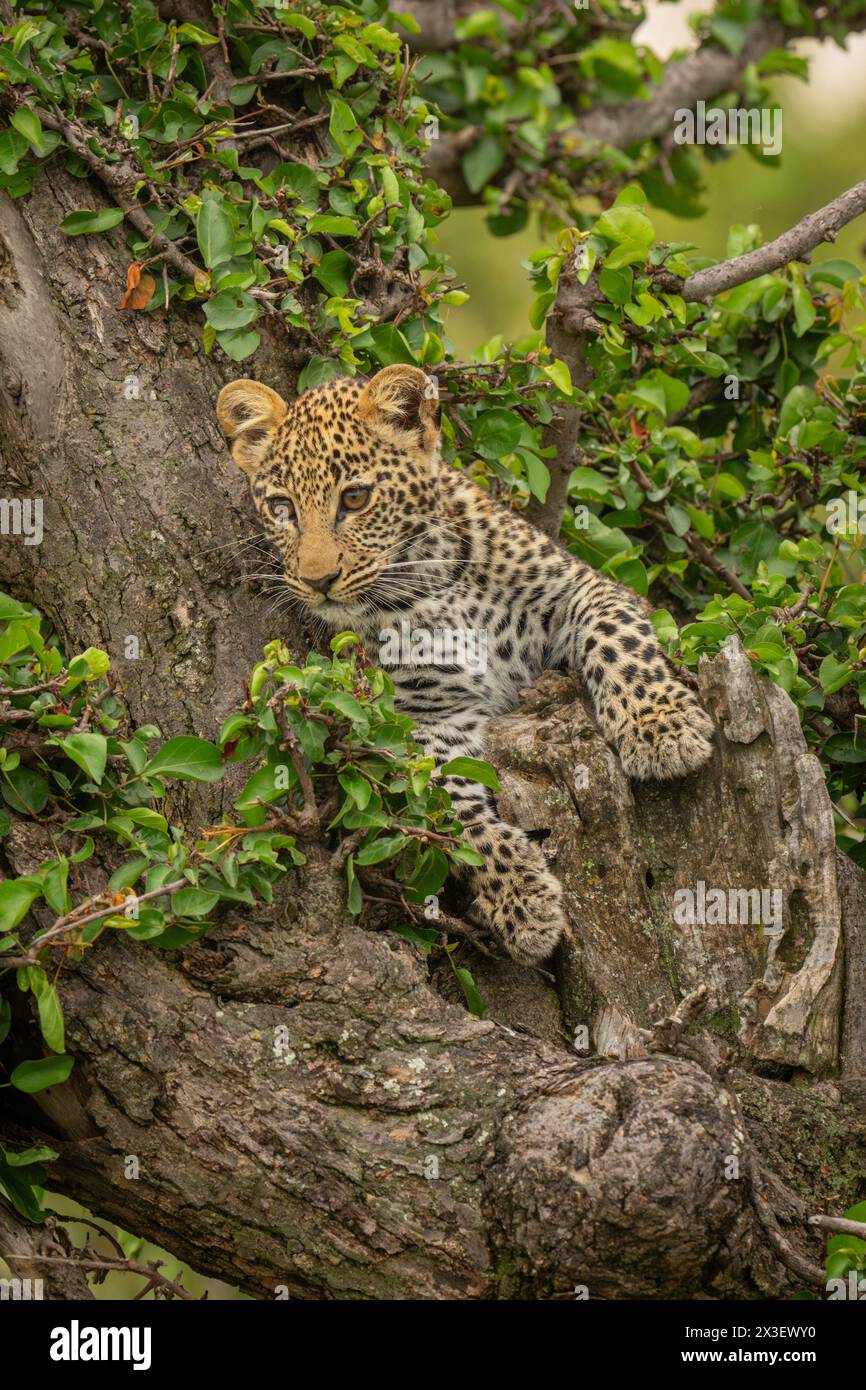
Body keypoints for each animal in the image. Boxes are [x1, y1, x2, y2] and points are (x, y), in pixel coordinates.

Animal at [217, 365, 715, 967]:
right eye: (282, 509)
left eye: (355, 498)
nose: (318, 581)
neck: (429, 581)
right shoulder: (431, 715)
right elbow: (449, 804)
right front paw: (521, 898)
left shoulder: (583, 588)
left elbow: (617, 637)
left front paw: (663, 730)